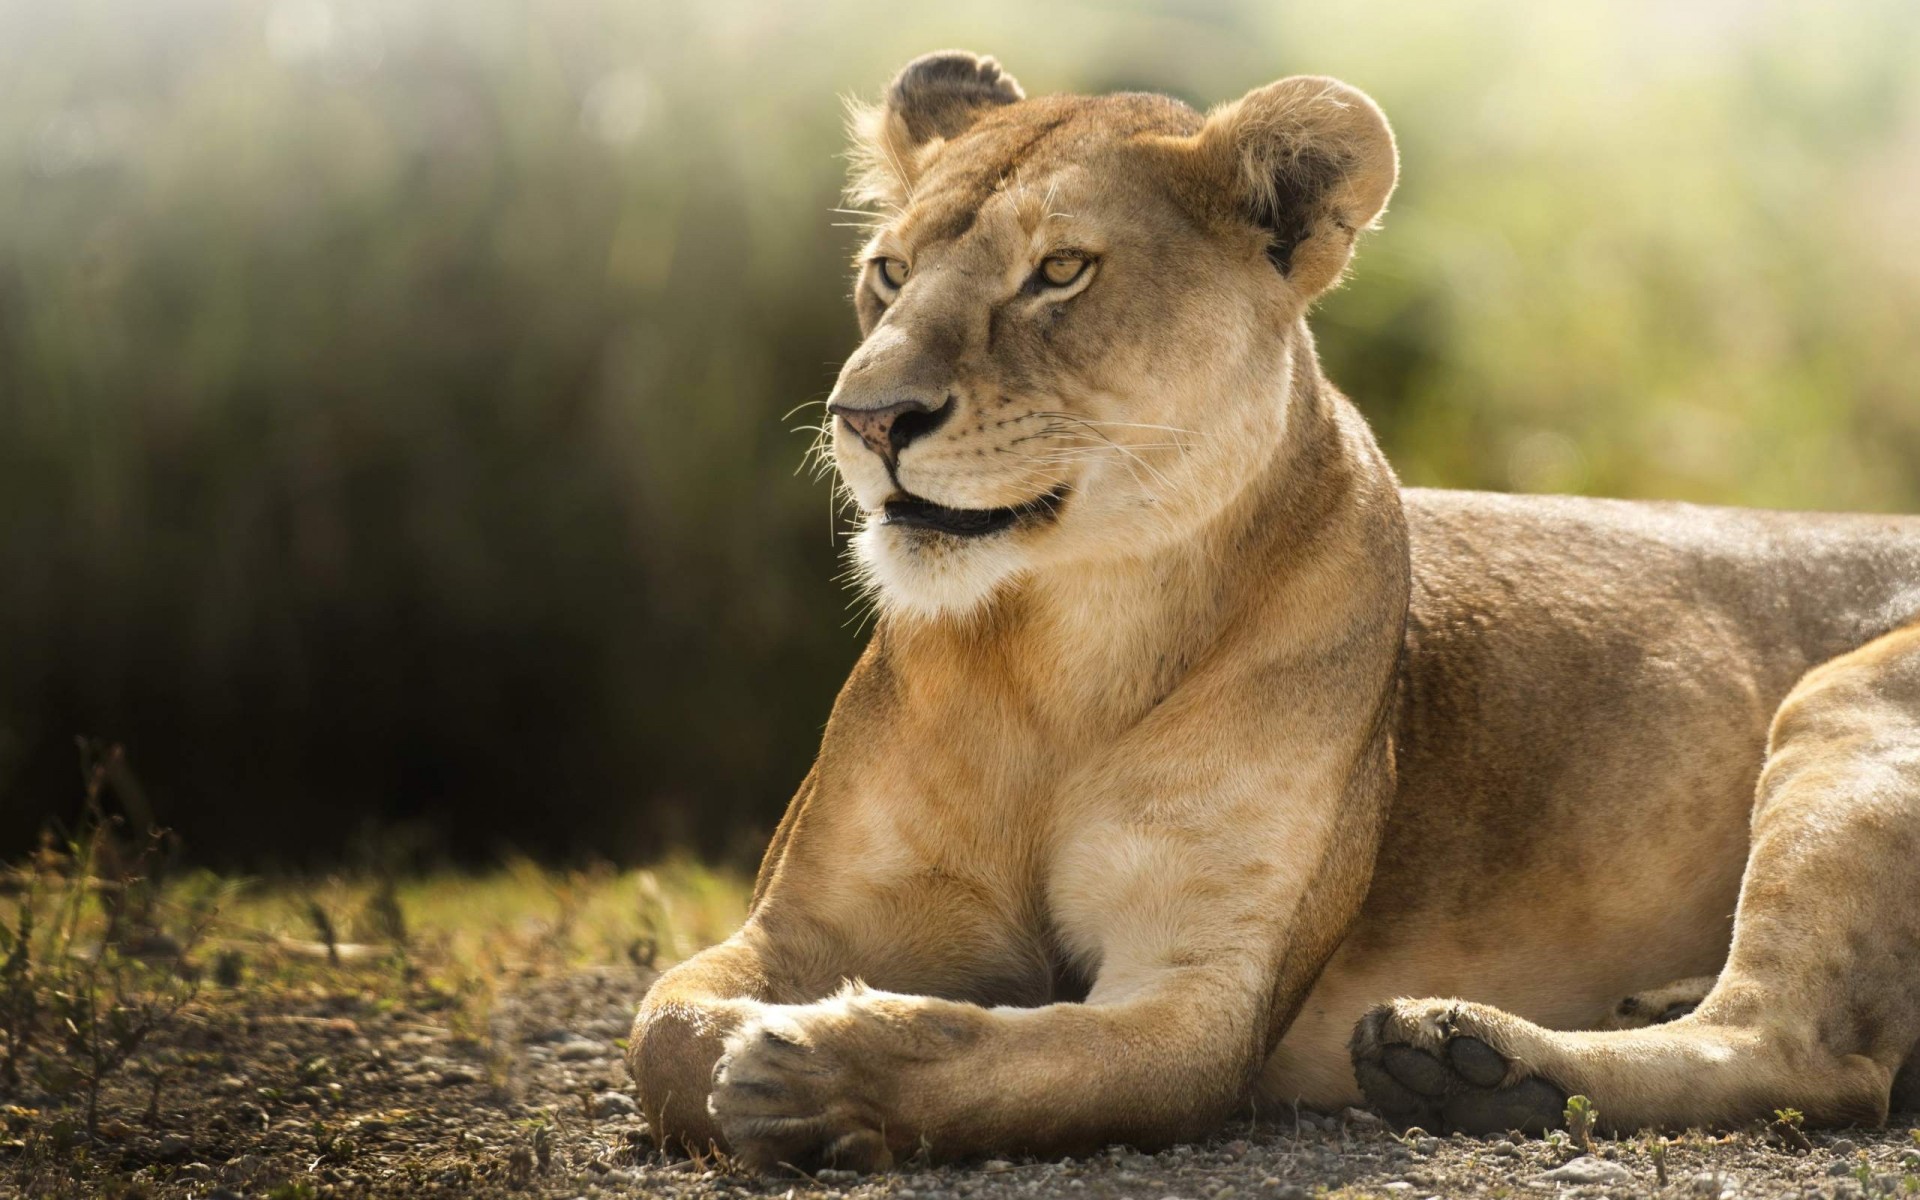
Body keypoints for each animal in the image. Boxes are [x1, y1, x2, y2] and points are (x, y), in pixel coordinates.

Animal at [626, 51, 1920, 1170]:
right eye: (888, 273)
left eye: (1060, 271)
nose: (865, 418)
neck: (1063, 647)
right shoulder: (800, 926)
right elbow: (661, 1033)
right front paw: (758, 1057)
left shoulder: (1204, 998)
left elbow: (1011, 1059)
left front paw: (814, 1076)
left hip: (1844, 701)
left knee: (1803, 1054)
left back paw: (1472, 1062)